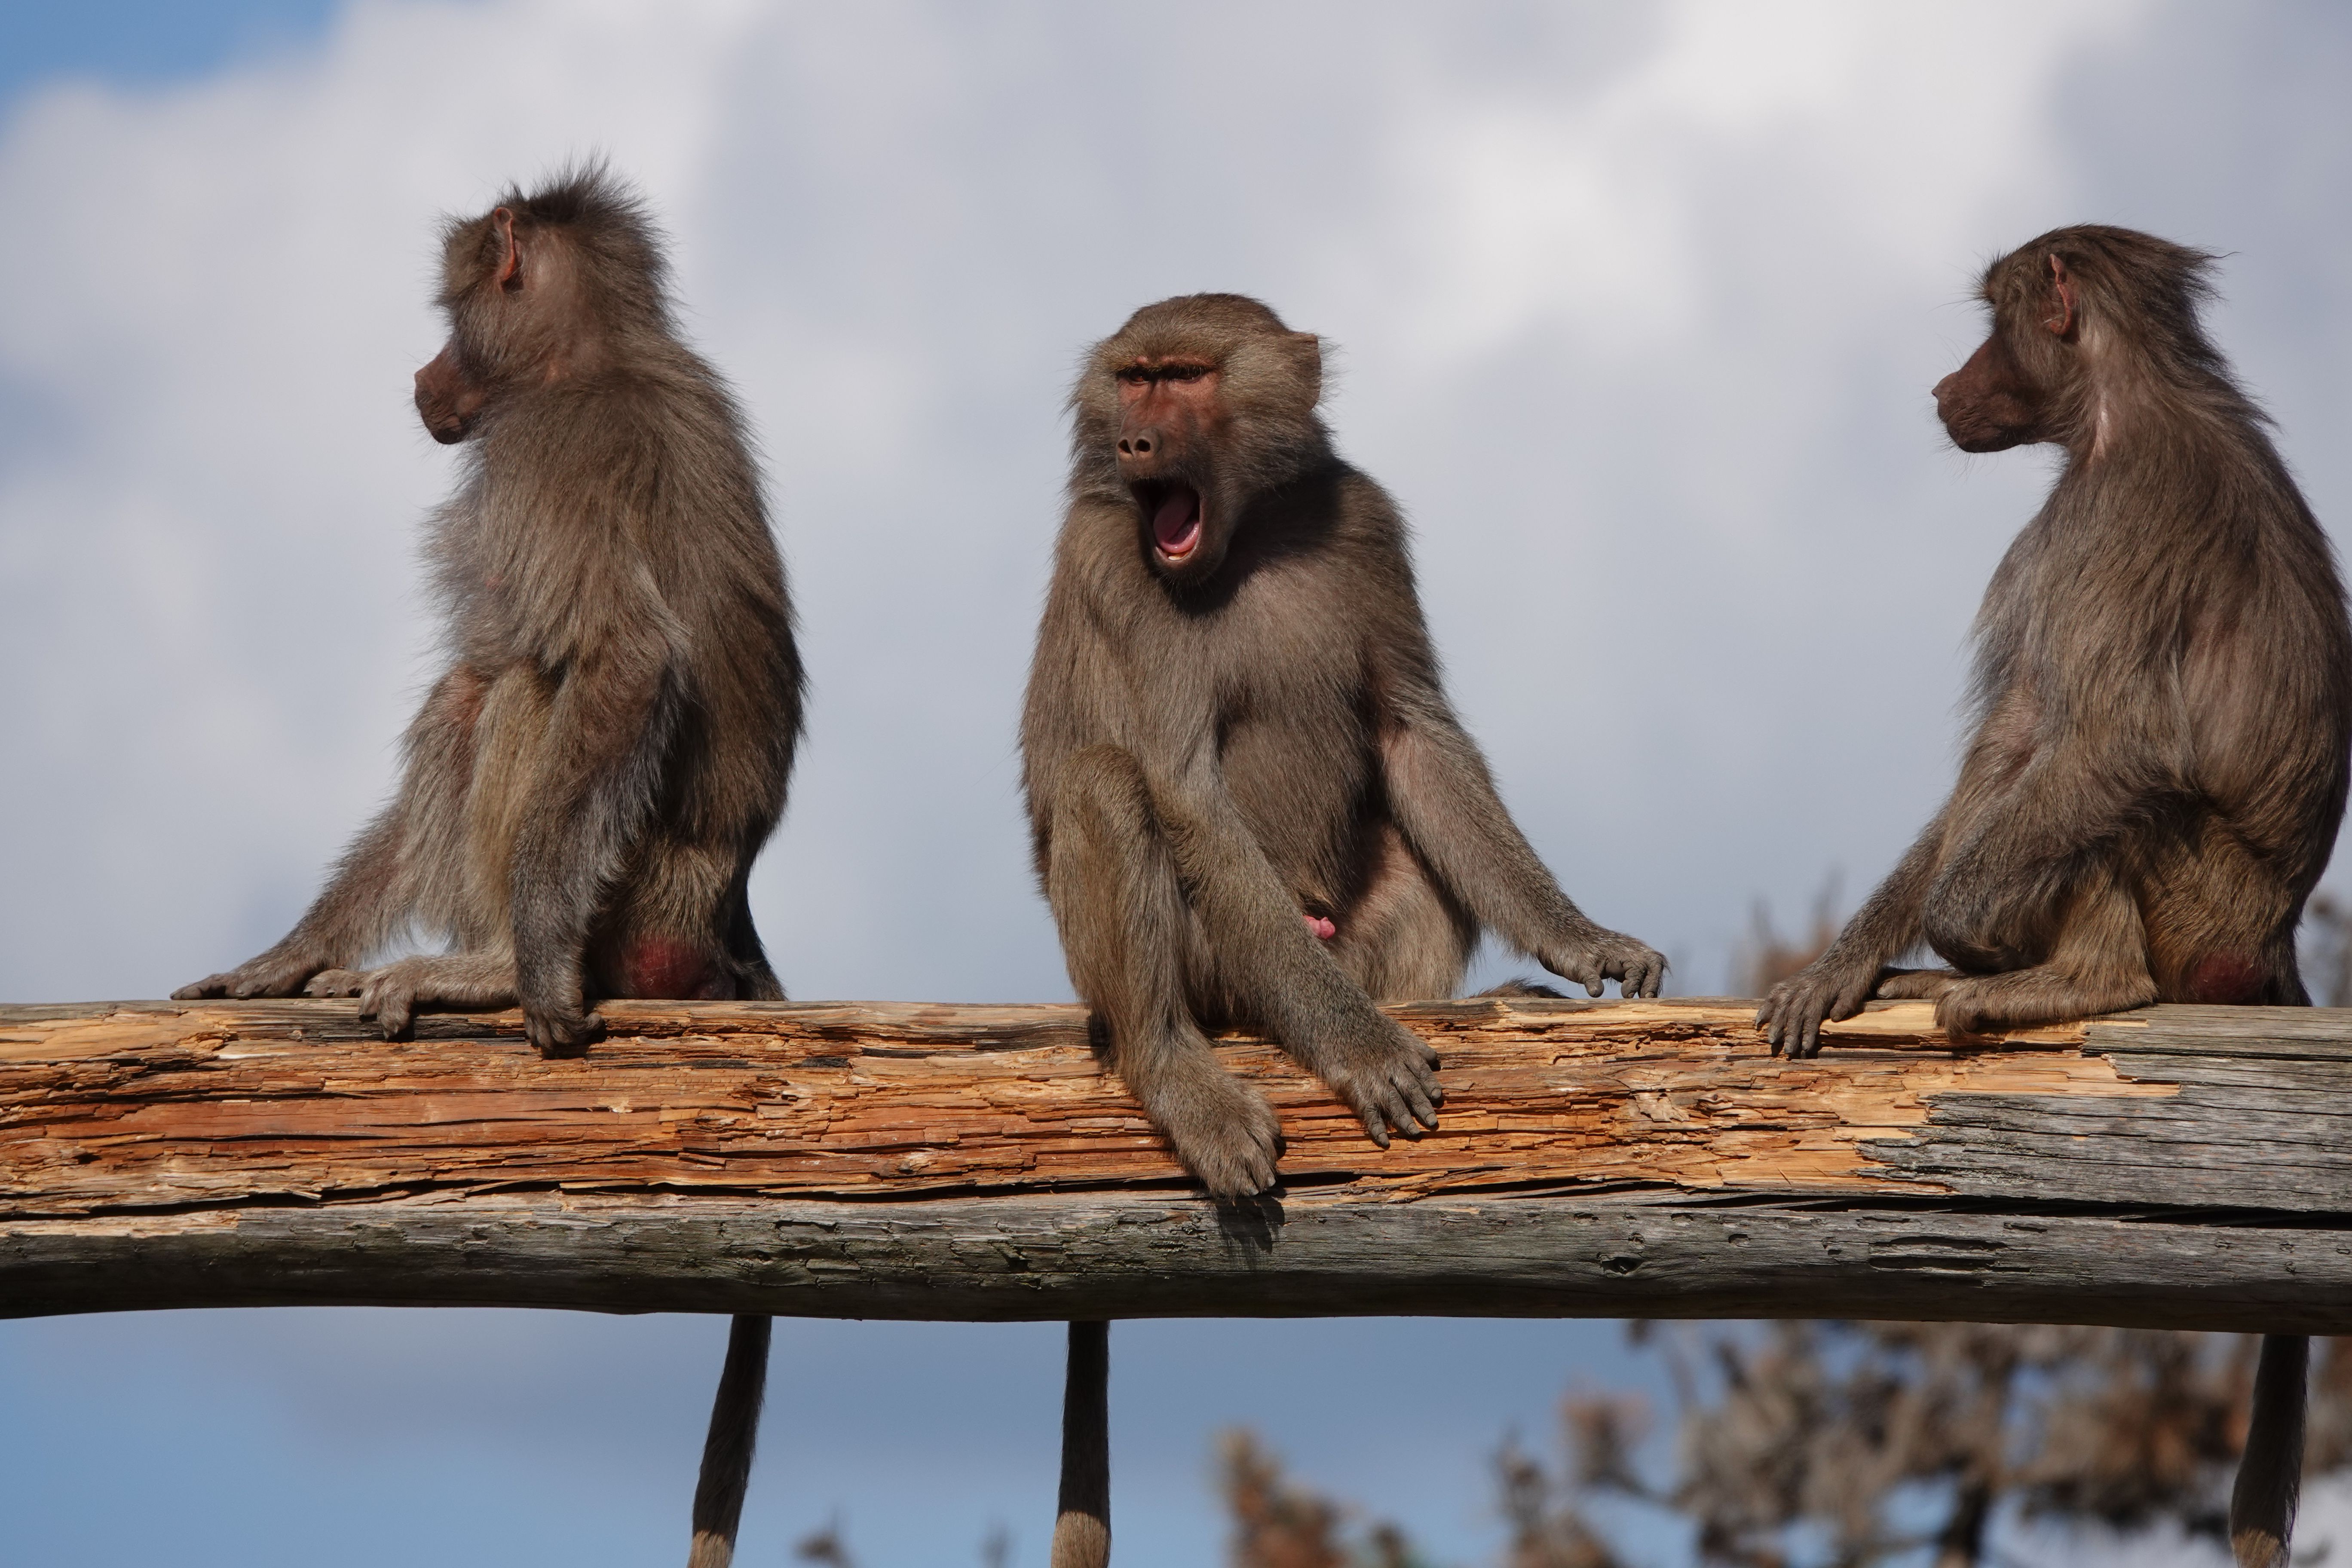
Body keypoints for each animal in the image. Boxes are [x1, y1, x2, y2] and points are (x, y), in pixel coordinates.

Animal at [168, 166, 801, 1568]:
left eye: (450, 319)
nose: (419, 376)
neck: (599, 351)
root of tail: (724, 913)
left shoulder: (540, 459)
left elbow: (622, 657)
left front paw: (532, 977)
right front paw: (290, 954)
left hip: (633, 900)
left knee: (521, 681)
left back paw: (497, 964)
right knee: (474, 690)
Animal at [1753, 227, 2351, 1568]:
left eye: (1993, 321)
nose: (1942, 387)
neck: (2127, 402)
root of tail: (2274, 942)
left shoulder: (2101, 521)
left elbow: (2105, 735)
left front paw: (1961, 935)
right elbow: (2009, 739)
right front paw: (1850, 962)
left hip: (2199, 906)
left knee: (2107, 792)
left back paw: (2063, 981)